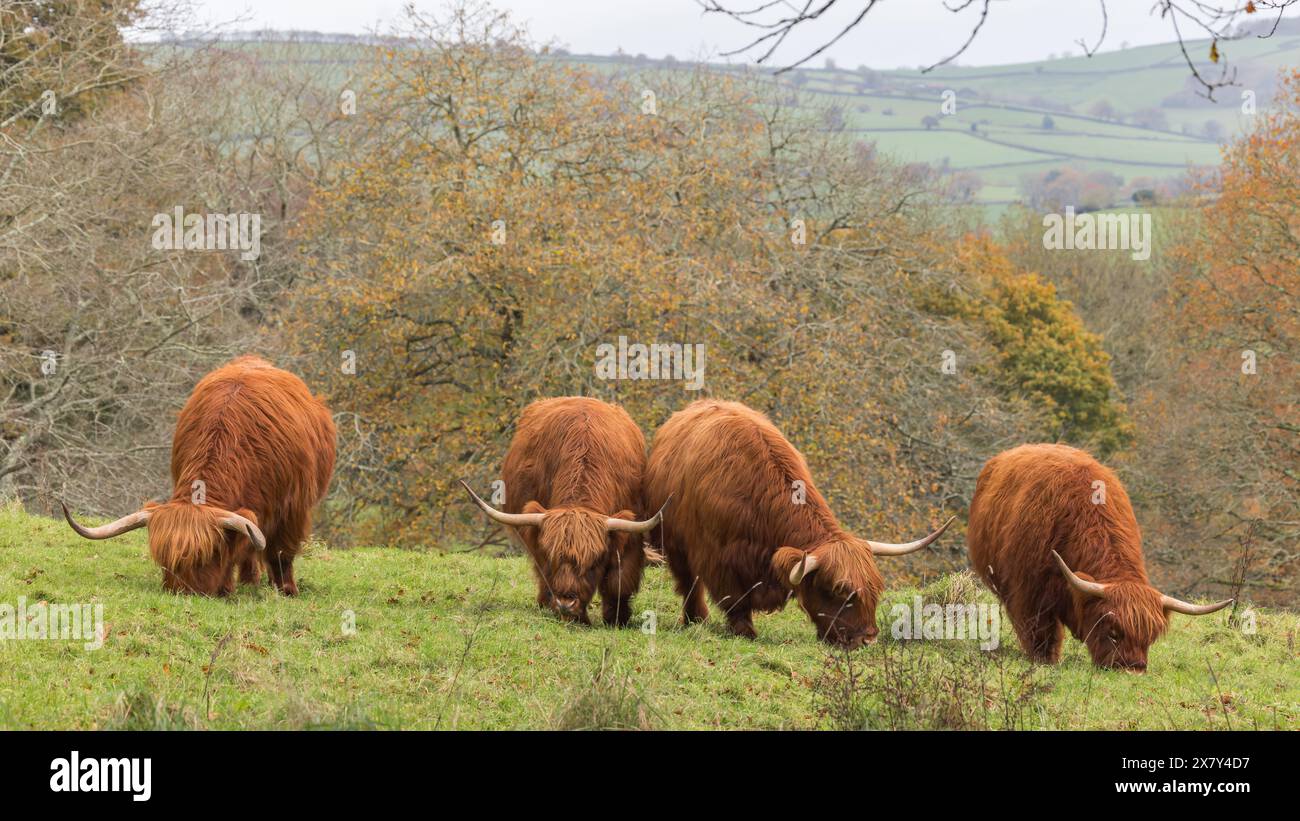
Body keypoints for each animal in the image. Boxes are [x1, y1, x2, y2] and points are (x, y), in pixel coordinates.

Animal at [62, 356, 336, 597]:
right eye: (165, 560)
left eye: (206, 556)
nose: (183, 591)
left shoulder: (293, 509)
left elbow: (280, 552)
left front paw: (287, 590)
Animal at [461, 397, 666, 626]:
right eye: (553, 557)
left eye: (594, 561)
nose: (566, 603)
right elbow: (543, 571)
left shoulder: (630, 532)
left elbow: (619, 579)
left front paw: (617, 618)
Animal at [642, 399, 953, 648]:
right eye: (839, 591)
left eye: (875, 589)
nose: (868, 639)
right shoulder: (717, 557)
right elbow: (733, 600)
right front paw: (744, 631)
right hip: (675, 542)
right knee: (688, 583)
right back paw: (695, 619)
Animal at [967, 443, 1232, 671]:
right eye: (1112, 632)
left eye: (1150, 637)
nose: (1133, 669)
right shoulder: (1028, 593)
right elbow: (1040, 632)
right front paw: (1045, 661)